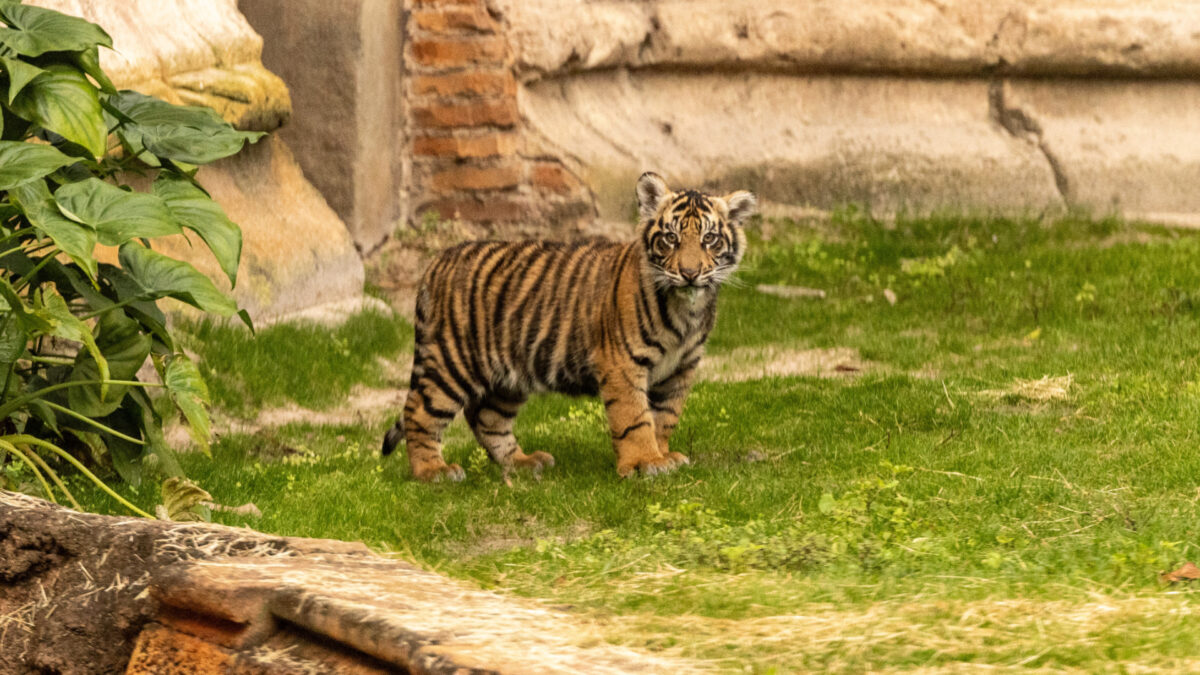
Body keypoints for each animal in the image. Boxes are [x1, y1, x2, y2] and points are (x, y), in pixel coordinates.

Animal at [382, 172, 757, 481]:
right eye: (670, 238)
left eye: (709, 239)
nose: (690, 273)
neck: (687, 309)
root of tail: (437, 261)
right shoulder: (622, 364)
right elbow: (635, 418)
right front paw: (644, 463)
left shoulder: (681, 369)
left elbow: (664, 417)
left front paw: (663, 455)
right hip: (453, 361)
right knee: (419, 412)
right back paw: (433, 472)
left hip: (507, 376)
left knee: (486, 418)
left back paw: (522, 463)